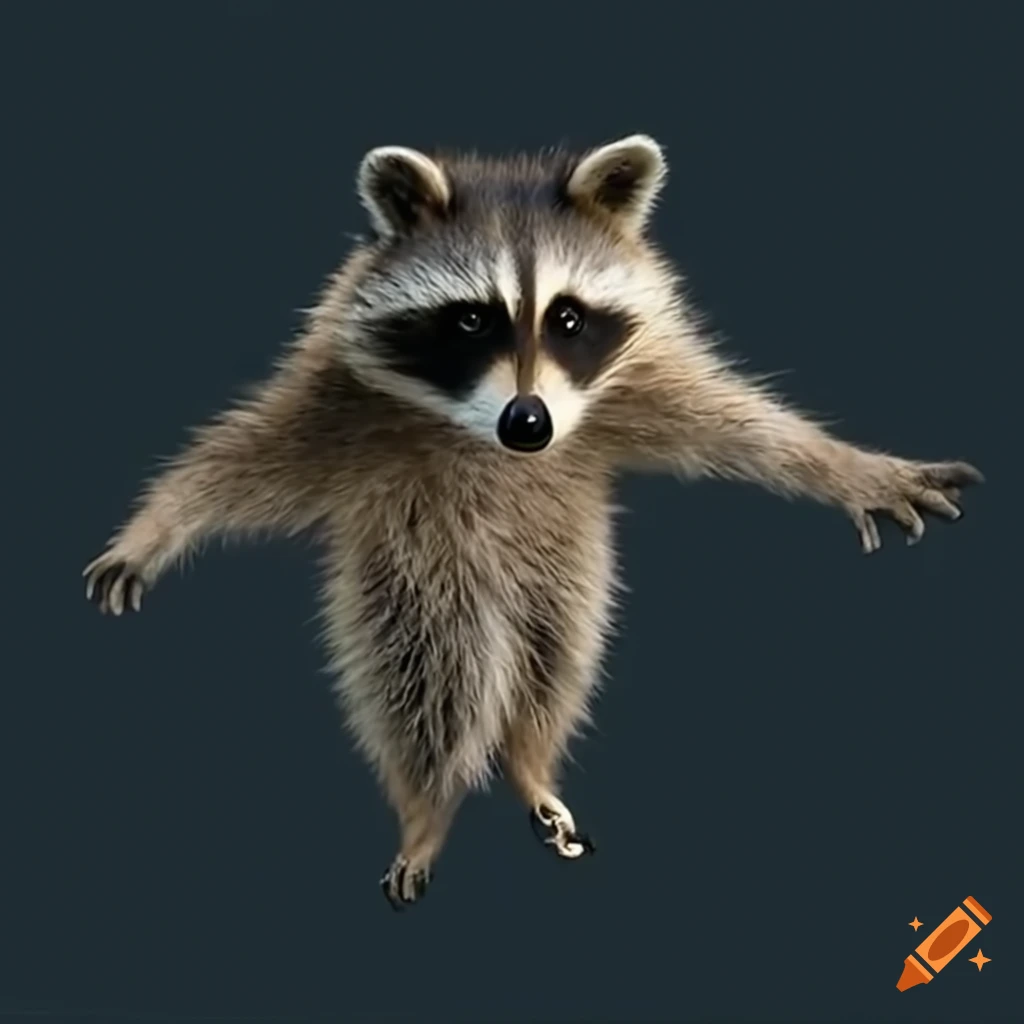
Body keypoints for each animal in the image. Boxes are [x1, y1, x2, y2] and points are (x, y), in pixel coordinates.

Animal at [83, 135, 983, 909]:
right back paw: (429, 811)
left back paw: (527, 758)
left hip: (562, 590)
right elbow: (239, 464)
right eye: (471, 318)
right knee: (425, 696)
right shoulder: (344, 409)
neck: (484, 435)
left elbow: (746, 431)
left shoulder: (631, 393)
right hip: (415, 596)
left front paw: (849, 467)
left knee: (555, 672)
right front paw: (156, 527)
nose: (529, 425)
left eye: (569, 317)